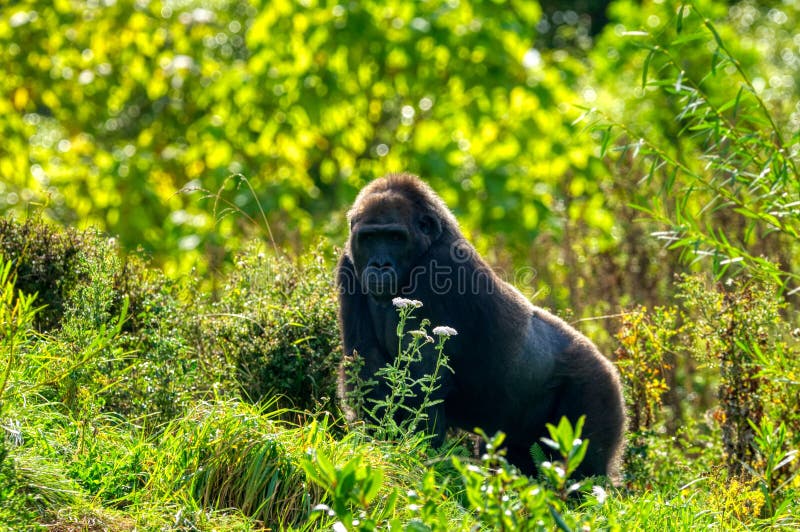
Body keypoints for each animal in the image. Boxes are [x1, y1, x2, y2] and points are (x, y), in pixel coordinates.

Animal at [336, 173, 626, 479]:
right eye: (369, 238)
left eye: (394, 237)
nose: (380, 265)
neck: (426, 245)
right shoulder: (347, 263)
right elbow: (364, 360)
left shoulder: (440, 269)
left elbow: (421, 383)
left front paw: (414, 456)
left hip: (597, 388)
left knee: (586, 471)